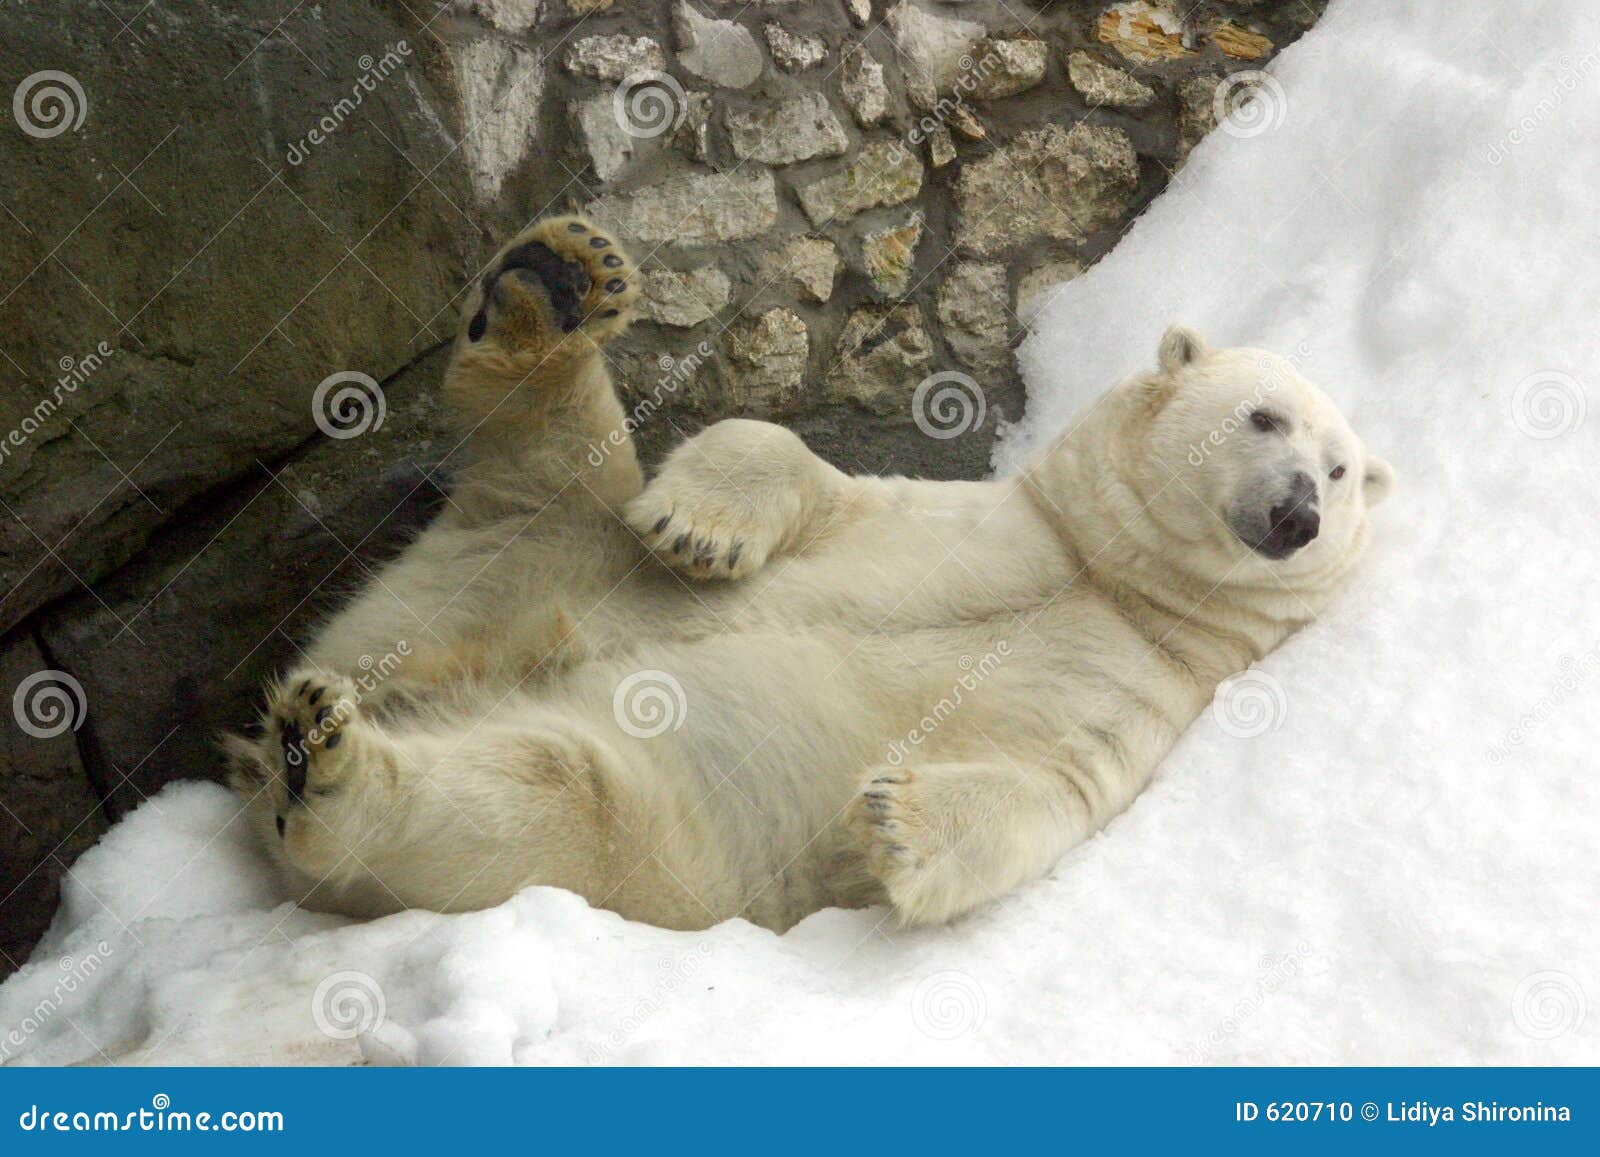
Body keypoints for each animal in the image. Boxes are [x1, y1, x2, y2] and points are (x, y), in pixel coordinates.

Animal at [226, 215, 1394, 930]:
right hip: (531, 567)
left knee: (545, 791)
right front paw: (699, 528)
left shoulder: (1149, 690)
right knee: (559, 474)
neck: (1111, 576)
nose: (1298, 511)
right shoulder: (978, 519)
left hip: (648, 820)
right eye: (1265, 416)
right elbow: (800, 466)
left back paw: (322, 764)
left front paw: (896, 819)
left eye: (1341, 472)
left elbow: (1046, 792)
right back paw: (553, 286)